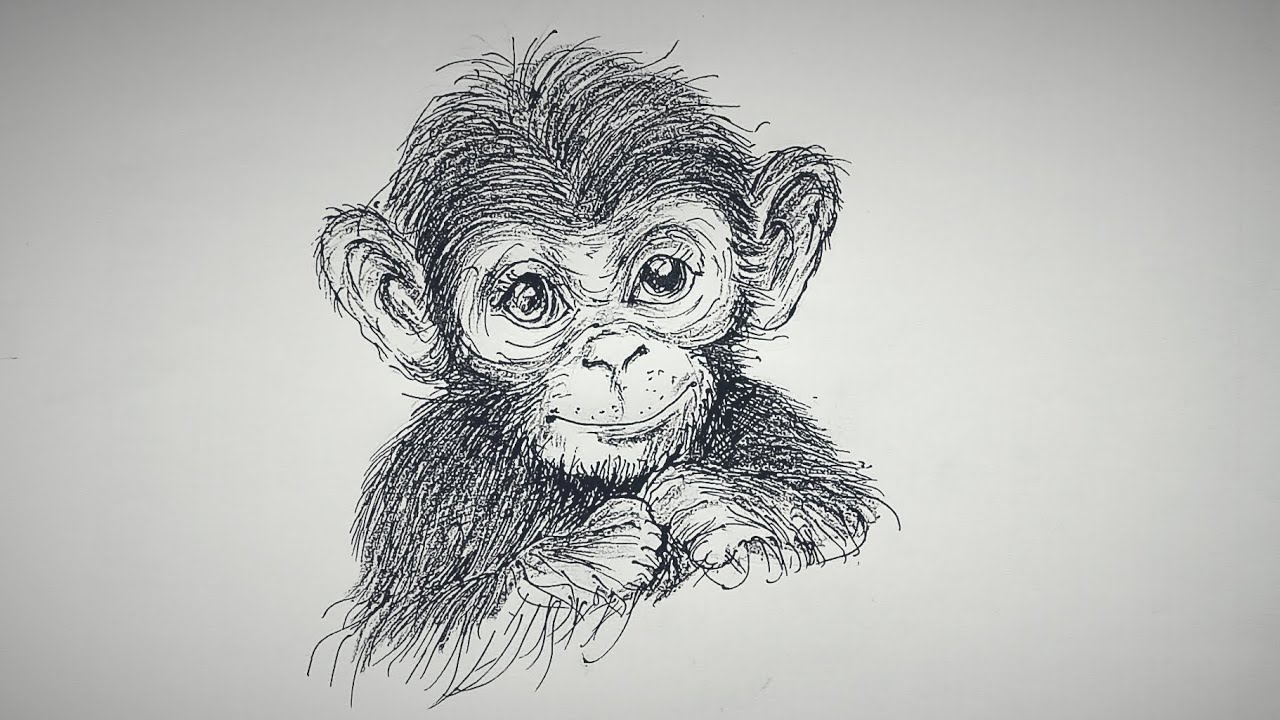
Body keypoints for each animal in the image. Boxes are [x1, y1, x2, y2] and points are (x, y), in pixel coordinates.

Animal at [310, 37, 889, 702]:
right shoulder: (415, 490)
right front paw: (582, 557)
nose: (613, 352)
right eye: (529, 297)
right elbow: (394, 643)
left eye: (663, 275)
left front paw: (742, 511)